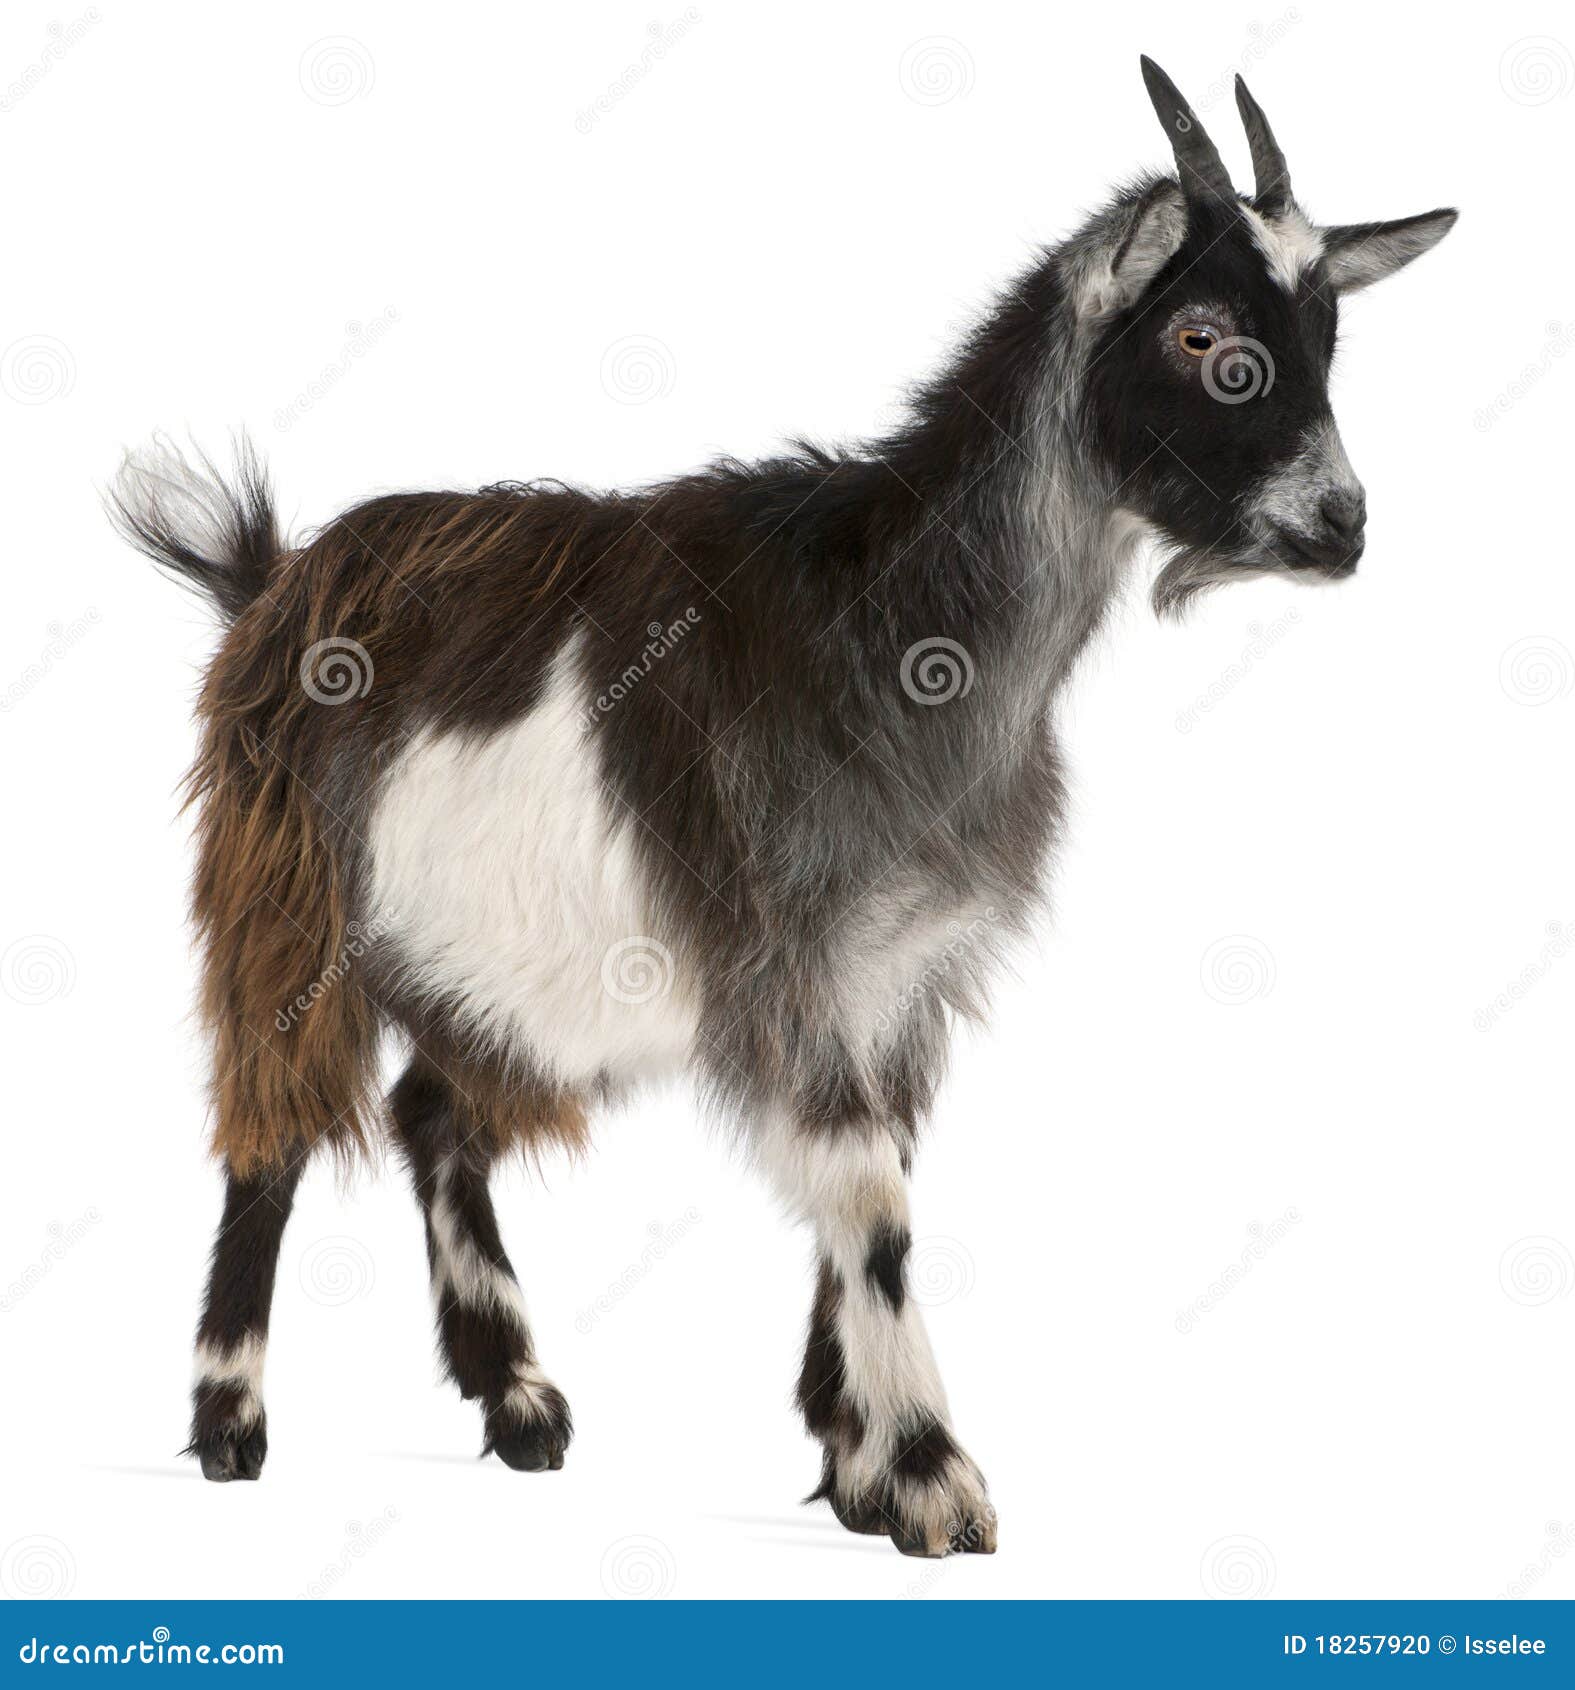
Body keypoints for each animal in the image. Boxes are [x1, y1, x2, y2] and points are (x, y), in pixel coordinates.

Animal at [110, 59, 1455, 1557]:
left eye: (1326, 332)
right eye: (1203, 332)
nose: (1338, 524)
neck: (897, 621)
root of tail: (275, 579)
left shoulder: (898, 971)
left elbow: (868, 1184)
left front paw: (853, 1463)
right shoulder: (790, 947)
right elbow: (871, 1198)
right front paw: (932, 1479)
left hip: (485, 955)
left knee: (432, 1117)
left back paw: (517, 1397)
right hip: (285, 890)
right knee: (271, 1127)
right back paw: (232, 1422)